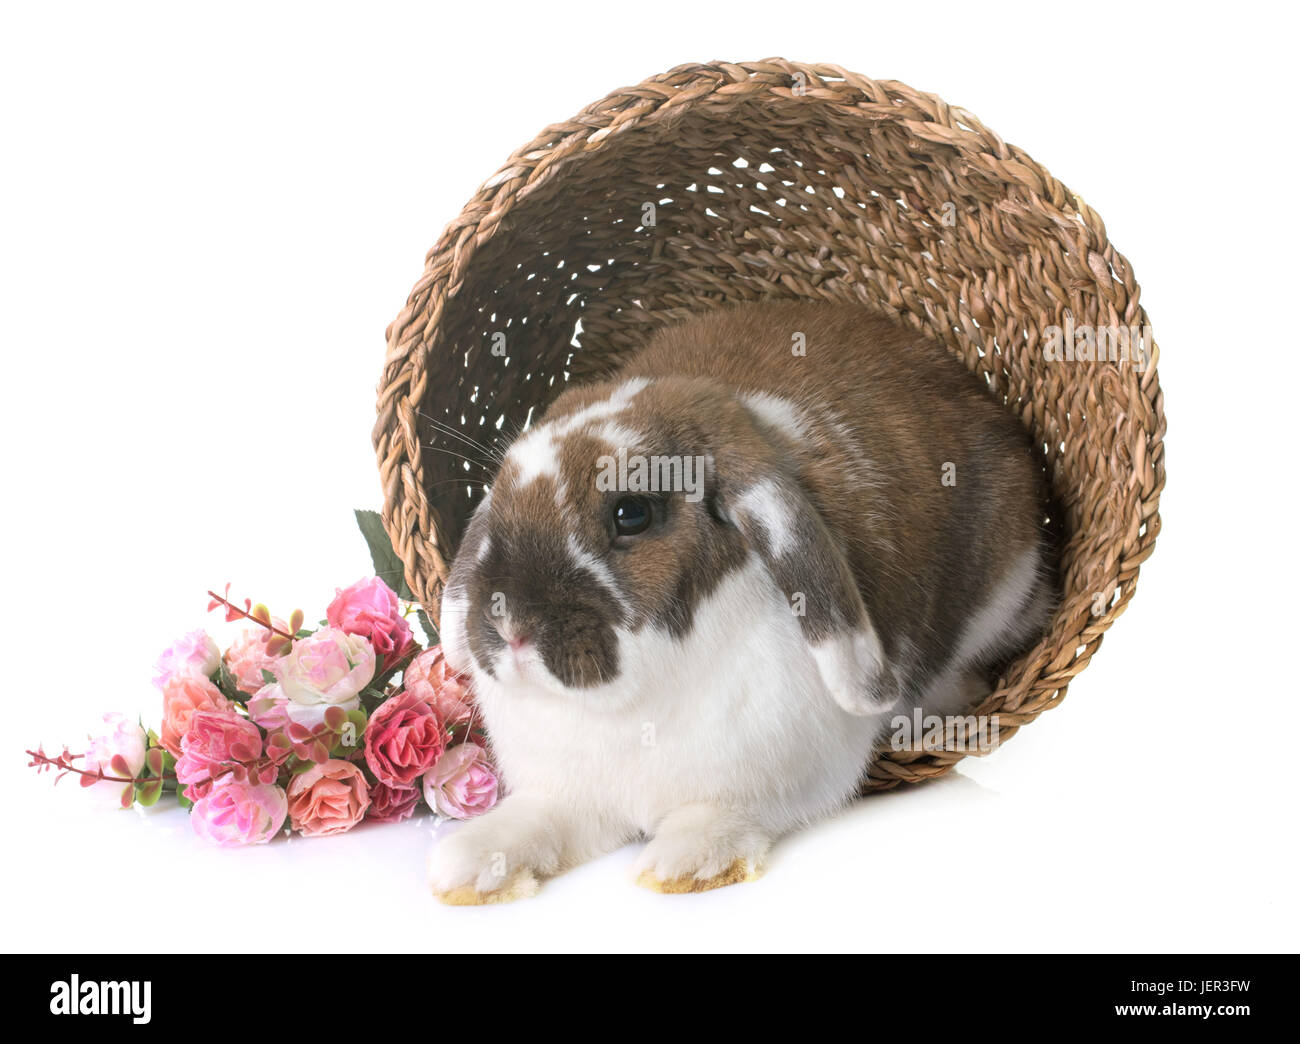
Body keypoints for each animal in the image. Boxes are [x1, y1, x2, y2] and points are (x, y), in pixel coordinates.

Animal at [428, 300, 1056, 903]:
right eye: (499, 502)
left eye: (631, 512)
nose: (509, 623)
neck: (631, 703)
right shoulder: (572, 794)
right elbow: (541, 820)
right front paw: (468, 866)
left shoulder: (777, 780)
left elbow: (723, 811)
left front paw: (684, 864)